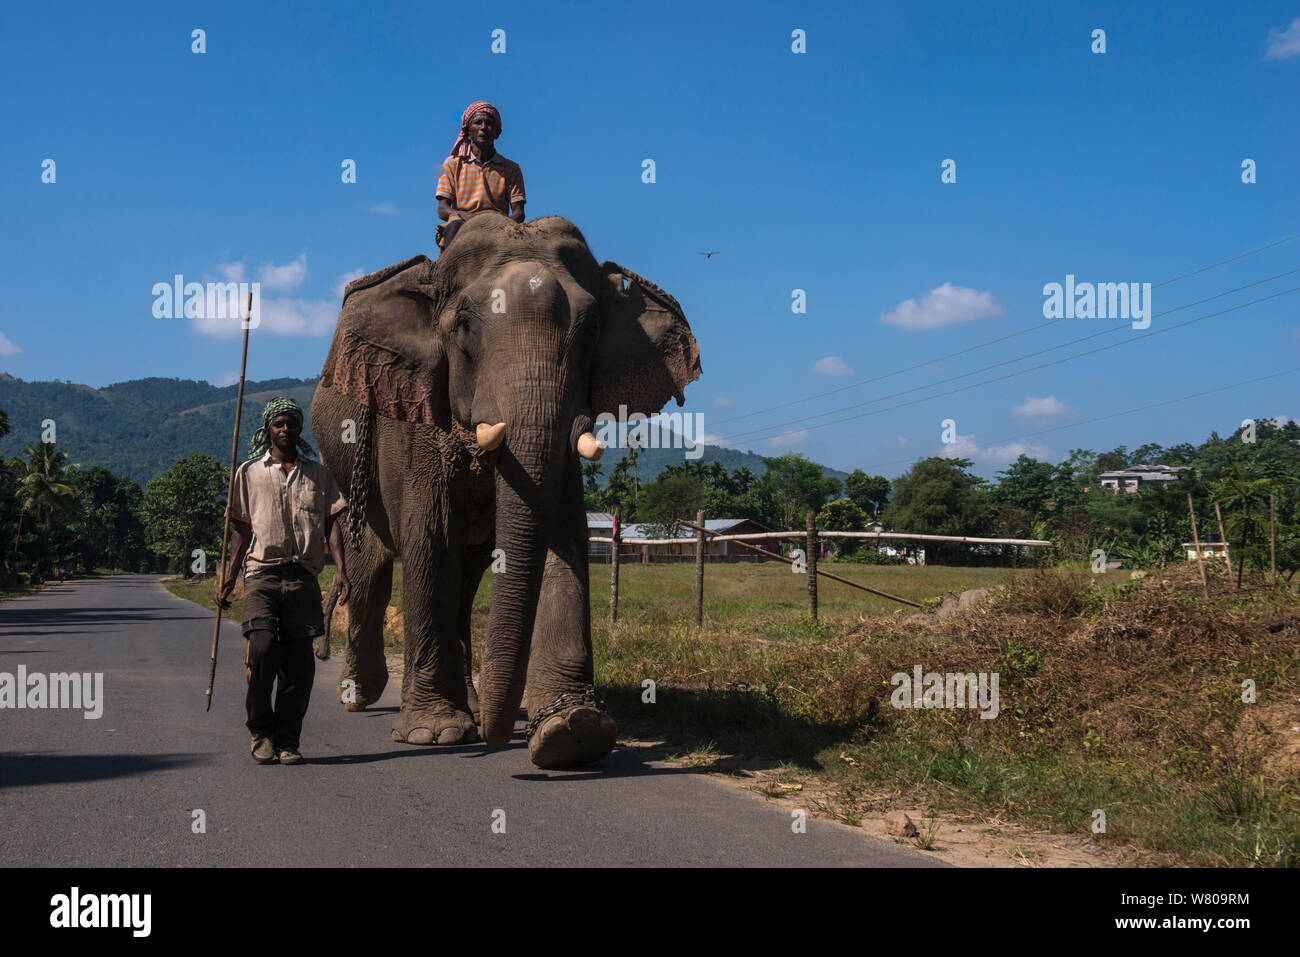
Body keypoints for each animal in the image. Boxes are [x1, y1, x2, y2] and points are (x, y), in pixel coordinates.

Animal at [311, 212, 701, 768]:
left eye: (592, 329)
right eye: (464, 326)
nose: (495, 741)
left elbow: (563, 533)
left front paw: (571, 732)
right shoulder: (412, 412)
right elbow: (430, 536)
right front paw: (434, 735)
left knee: (465, 574)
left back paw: (475, 708)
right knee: (373, 566)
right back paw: (362, 698)